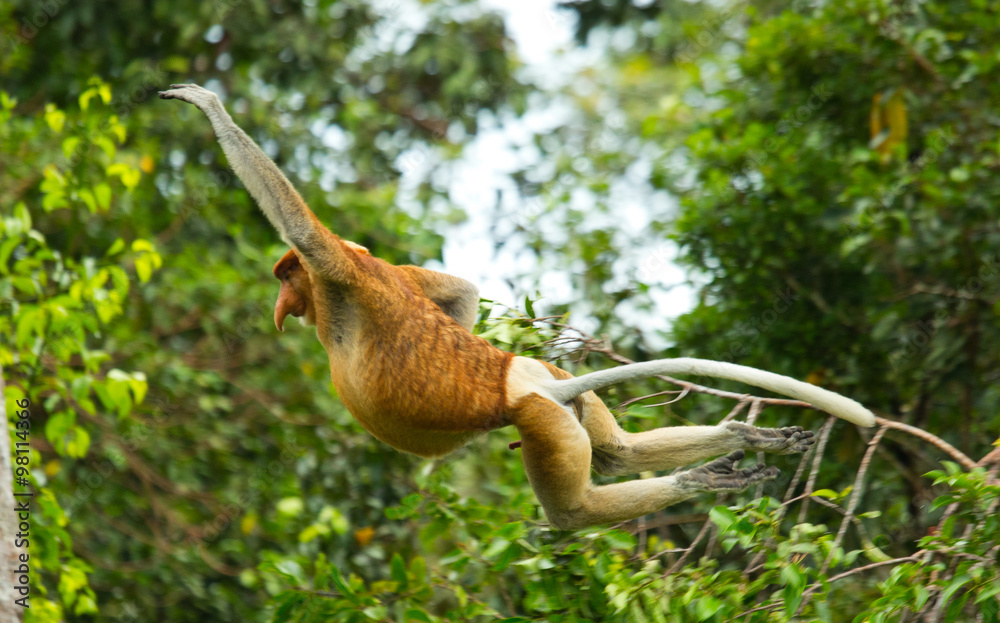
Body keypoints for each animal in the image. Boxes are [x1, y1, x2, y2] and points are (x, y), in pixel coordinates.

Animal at [160, 84, 875, 530]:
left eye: (287, 278)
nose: (282, 304)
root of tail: (526, 380)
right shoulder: (378, 268)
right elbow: (457, 293)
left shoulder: (343, 275)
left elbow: (303, 227)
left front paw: (208, 107)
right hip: (566, 394)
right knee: (616, 454)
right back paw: (743, 438)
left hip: (542, 420)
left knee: (573, 511)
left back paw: (698, 484)